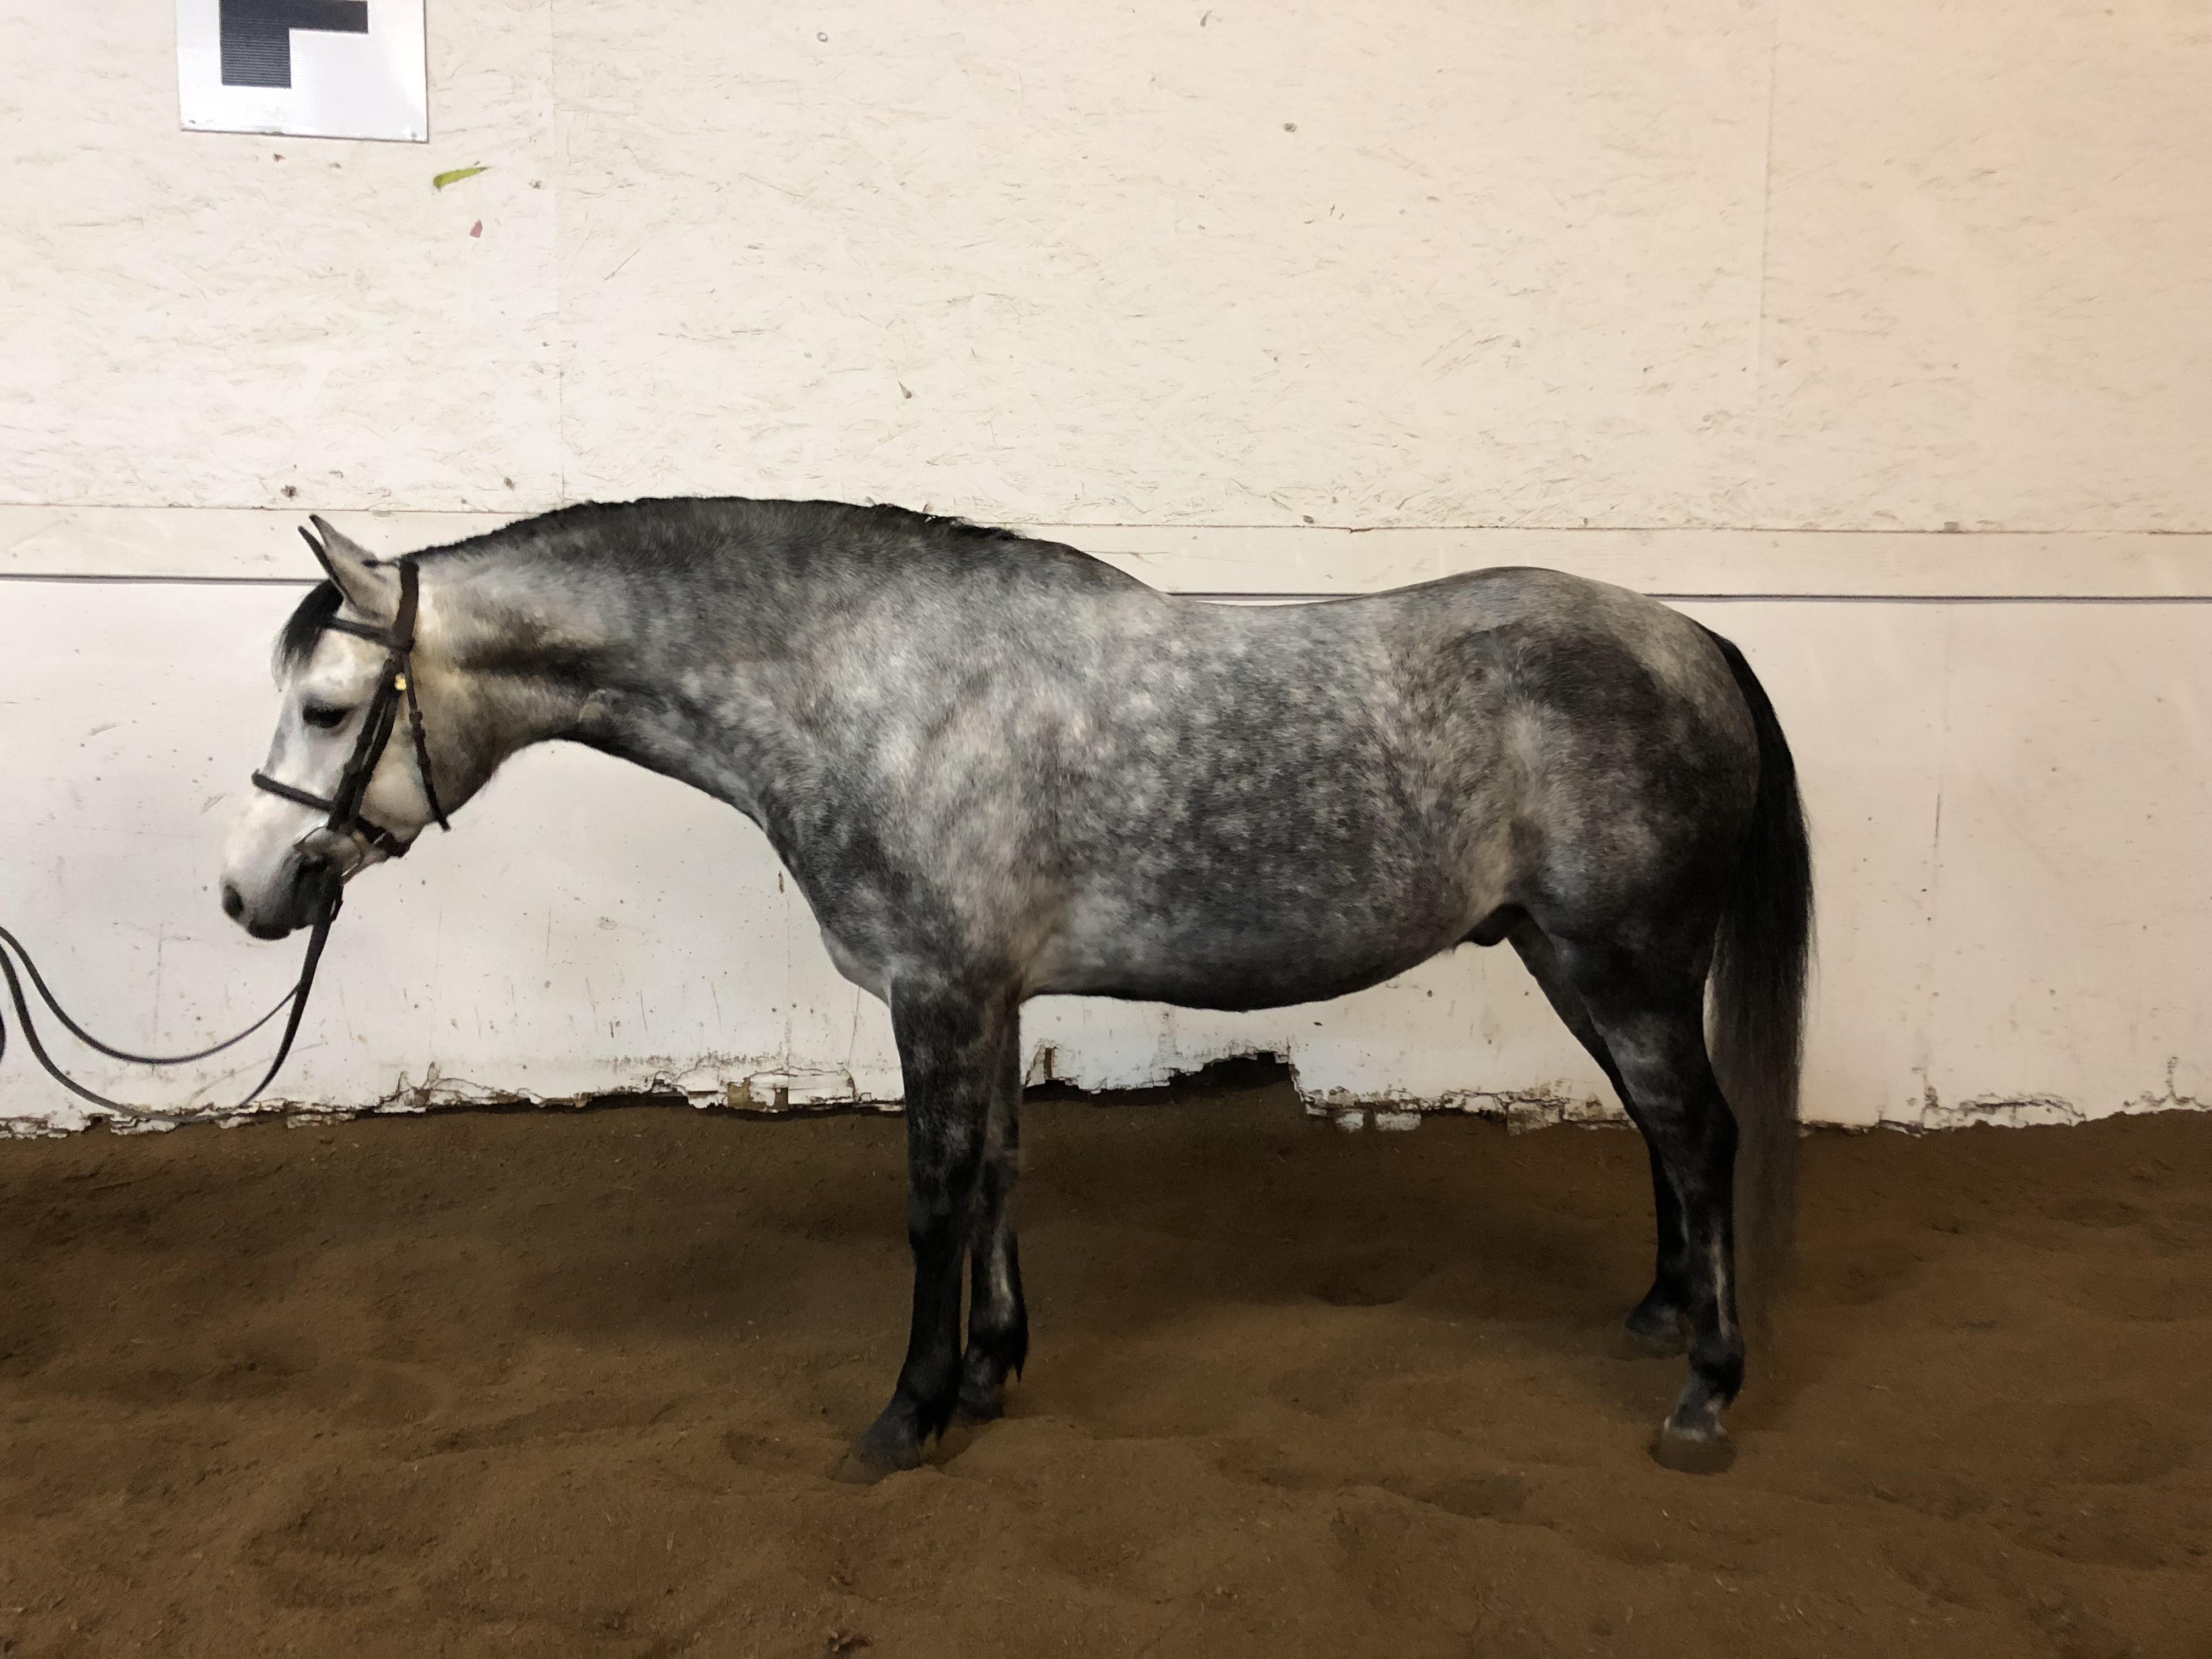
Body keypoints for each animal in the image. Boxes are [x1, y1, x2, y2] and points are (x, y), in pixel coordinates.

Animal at [221, 498, 1812, 1478]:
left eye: (329, 709)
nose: (250, 894)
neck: (872, 688)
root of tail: (1697, 642)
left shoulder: (936, 991)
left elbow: (937, 1195)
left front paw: (908, 1413)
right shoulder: (983, 996)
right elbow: (994, 1175)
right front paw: (989, 1371)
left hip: (1626, 962)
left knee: (1701, 1131)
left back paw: (1707, 1389)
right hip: (1570, 958)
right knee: (1666, 1135)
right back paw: (1661, 1312)